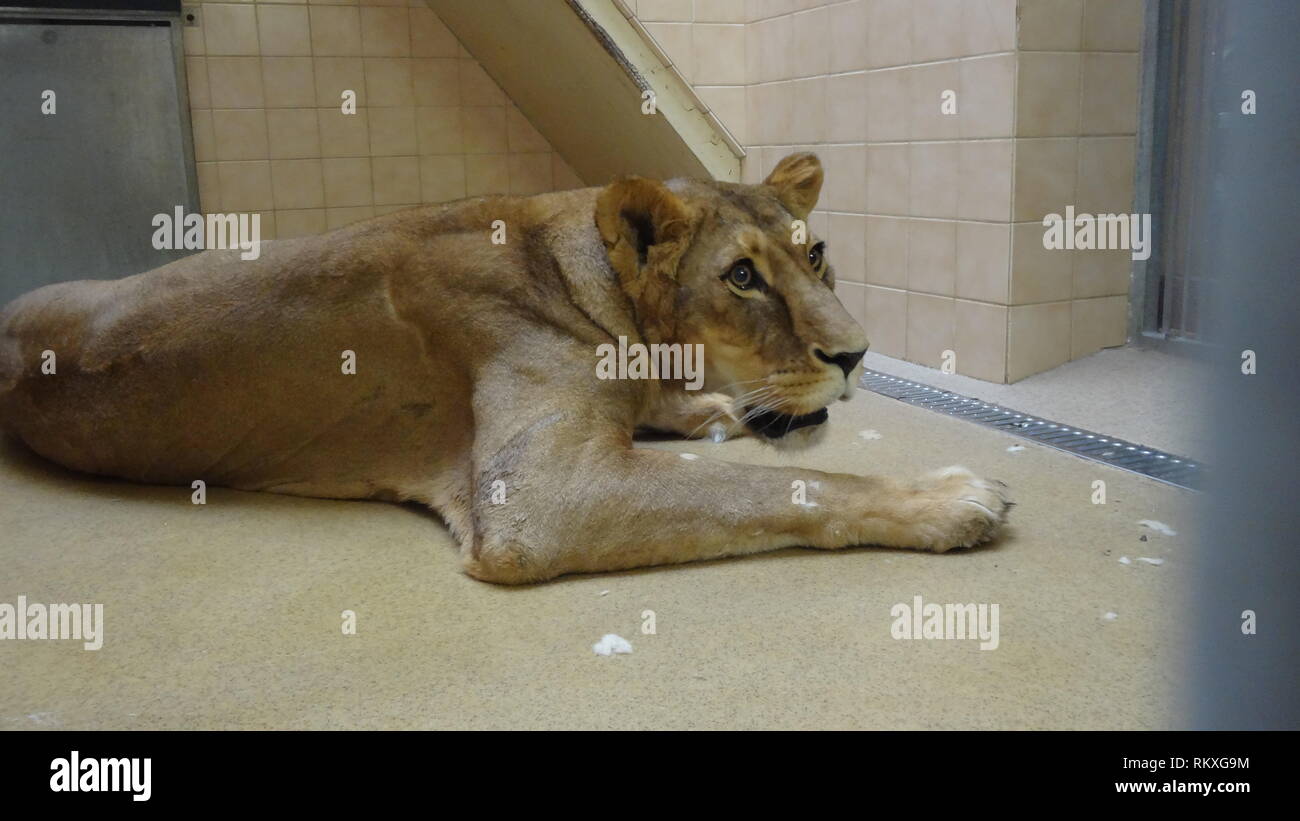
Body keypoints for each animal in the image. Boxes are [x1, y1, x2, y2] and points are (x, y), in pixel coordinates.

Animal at [0, 153, 1009, 583]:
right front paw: (950, 497)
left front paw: (706, 408)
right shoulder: (541, 499)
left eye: (818, 254)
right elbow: (779, 489)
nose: (857, 354)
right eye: (742, 276)